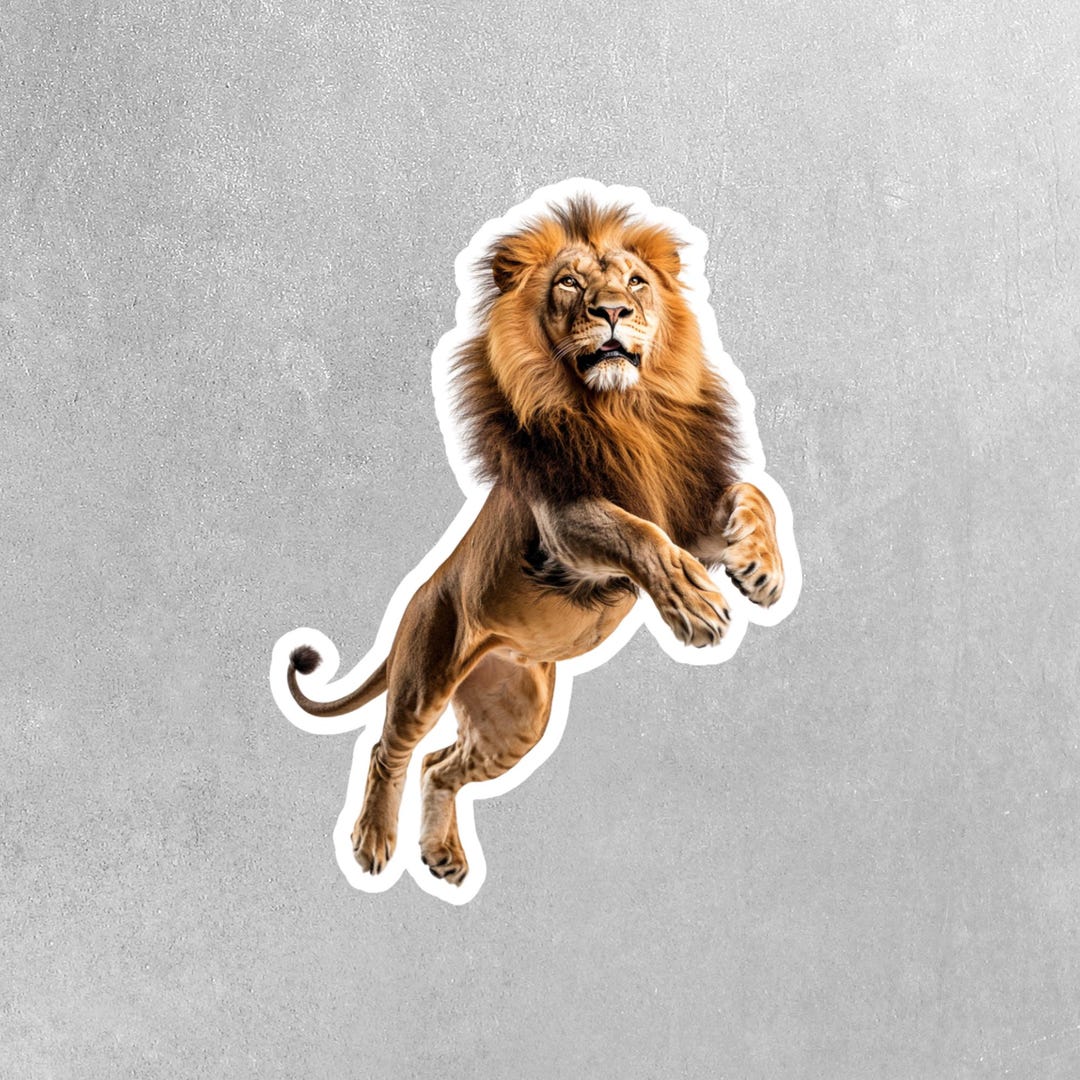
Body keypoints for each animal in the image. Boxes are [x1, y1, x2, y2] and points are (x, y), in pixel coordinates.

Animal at [285, 194, 785, 886]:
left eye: (636, 282)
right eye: (570, 283)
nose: (613, 311)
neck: (625, 412)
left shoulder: (684, 503)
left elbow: (752, 494)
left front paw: (762, 570)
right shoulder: (562, 523)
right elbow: (638, 534)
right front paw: (695, 605)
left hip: (520, 718)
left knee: (441, 765)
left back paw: (443, 854)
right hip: (426, 672)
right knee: (388, 748)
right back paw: (372, 841)